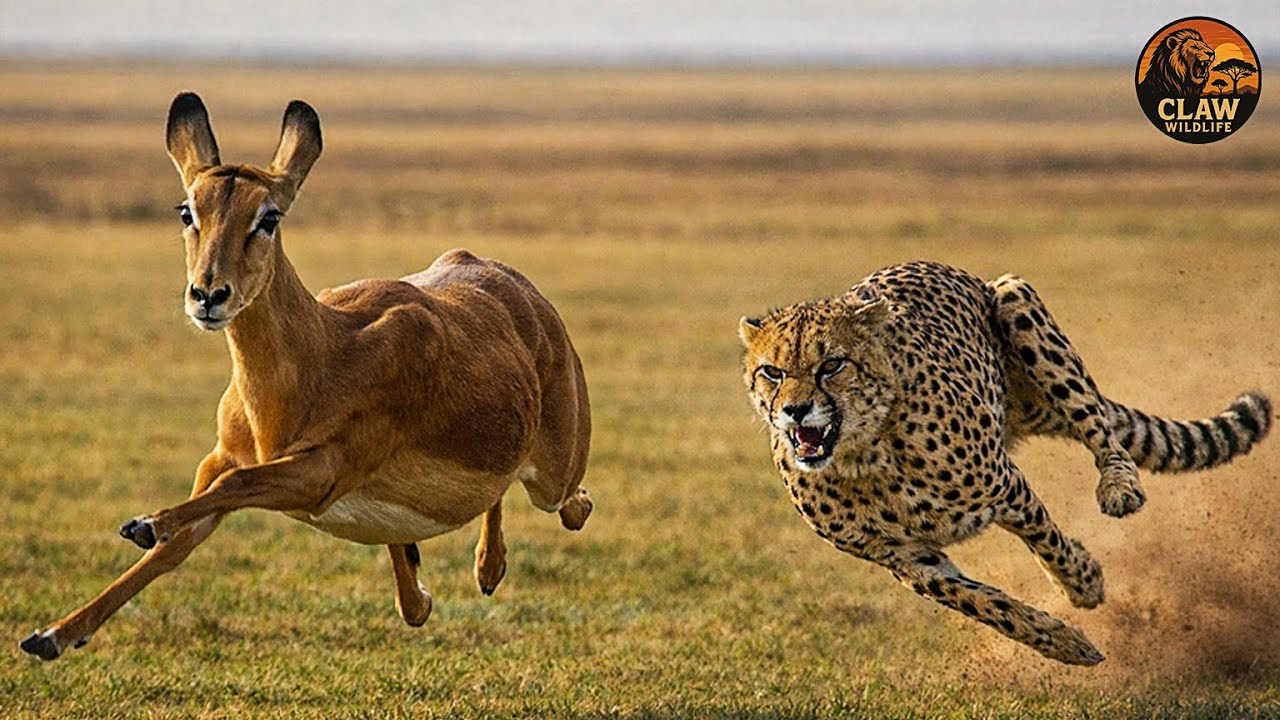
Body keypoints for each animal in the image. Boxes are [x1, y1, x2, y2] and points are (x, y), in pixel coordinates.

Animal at [738, 261, 1272, 665]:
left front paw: (1083, 582)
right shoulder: (906, 558)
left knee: (1098, 425)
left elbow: (1047, 540)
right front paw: (1061, 641)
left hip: (1018, 302)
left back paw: (1119, 486)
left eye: (832, 365)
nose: (794, 411)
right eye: (772, 372)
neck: (863, 455)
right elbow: (986, 604)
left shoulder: (1003, 485)